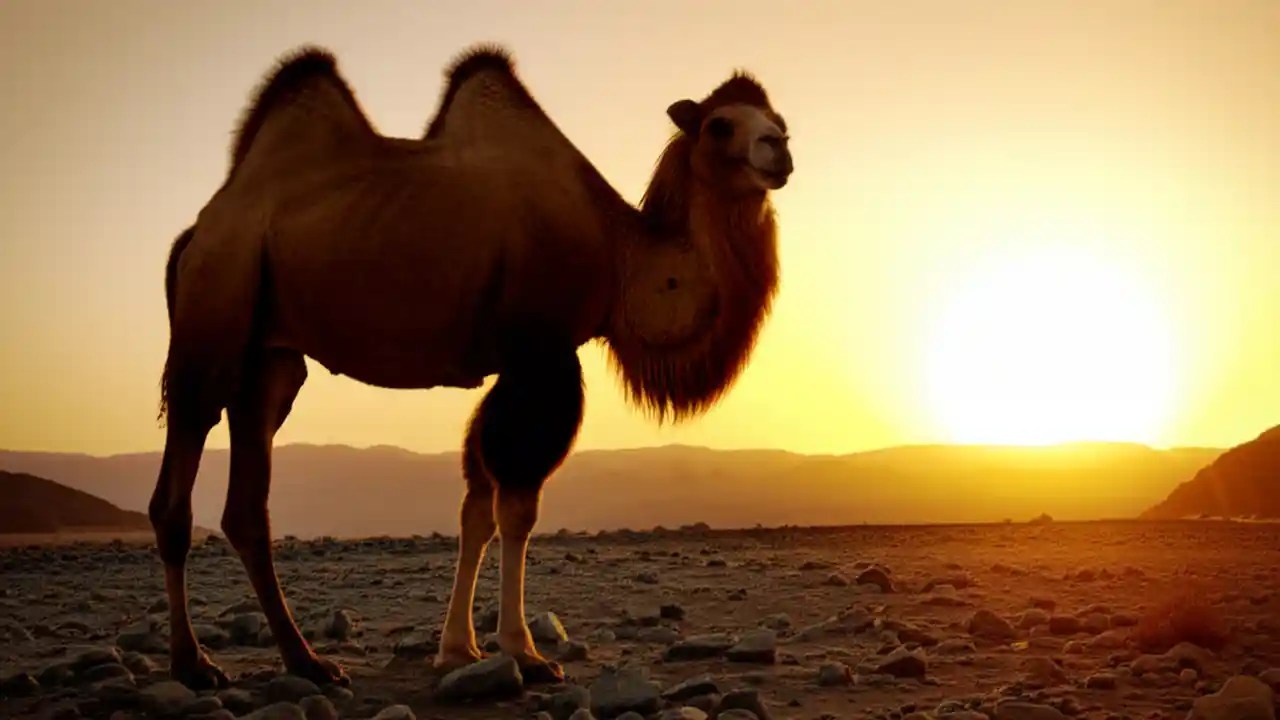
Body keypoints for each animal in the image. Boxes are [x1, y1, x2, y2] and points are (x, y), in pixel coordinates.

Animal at [149, 43, 793, 689]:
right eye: (720, 124)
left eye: (777, 118)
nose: (780, 149)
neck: (619, 256)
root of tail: (194, 234)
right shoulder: (542, 352)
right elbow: (516, 506)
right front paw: (525, 652)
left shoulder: (513, 367)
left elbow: (477, 505)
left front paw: (460, 649)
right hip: (214, 308)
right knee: (179, 476)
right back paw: (193, 663)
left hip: (271, 357)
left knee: (247, 495)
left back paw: (306, 660)